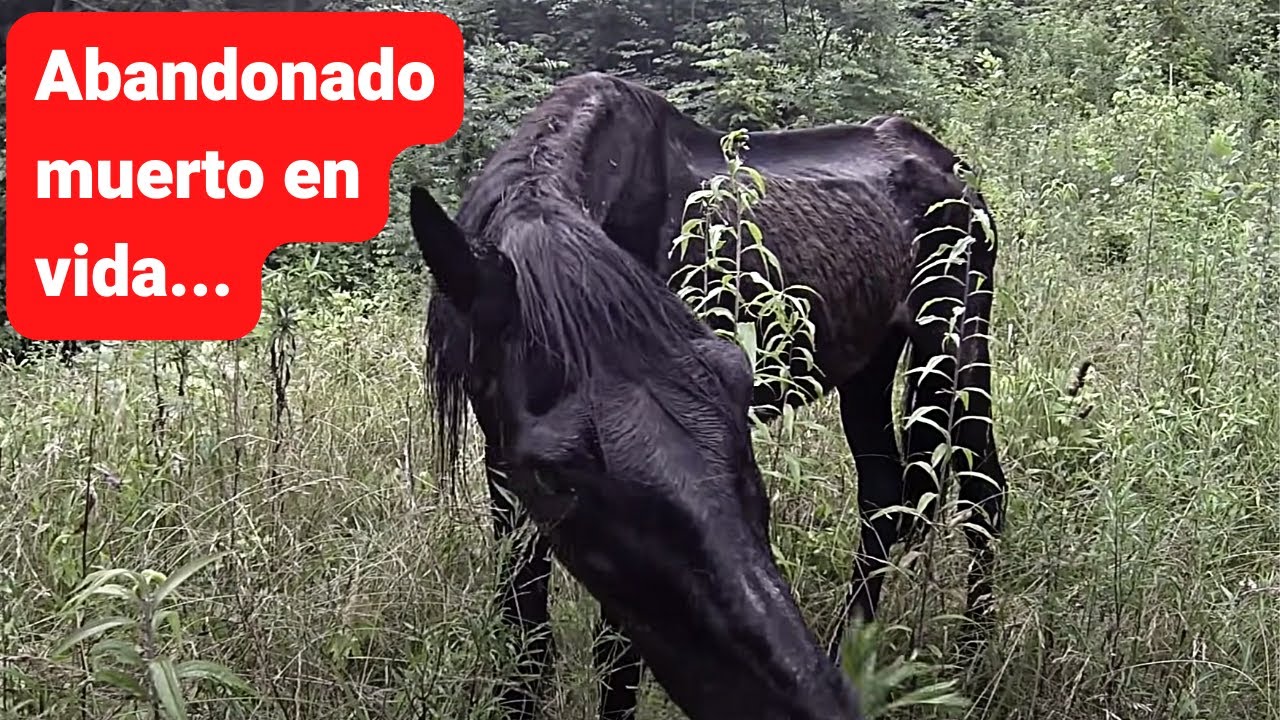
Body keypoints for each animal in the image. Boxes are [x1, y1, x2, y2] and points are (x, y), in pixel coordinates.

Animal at [416, 71, 1008, 720]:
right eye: (552, 471)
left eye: (736, 378)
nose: (805, 701)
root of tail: (958, 173)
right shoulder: (504, 467)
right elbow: (525, 634)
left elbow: (615, 663)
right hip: (870, 368)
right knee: (886, 497)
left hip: (953, 346)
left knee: (982, 493)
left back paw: (973, 663)